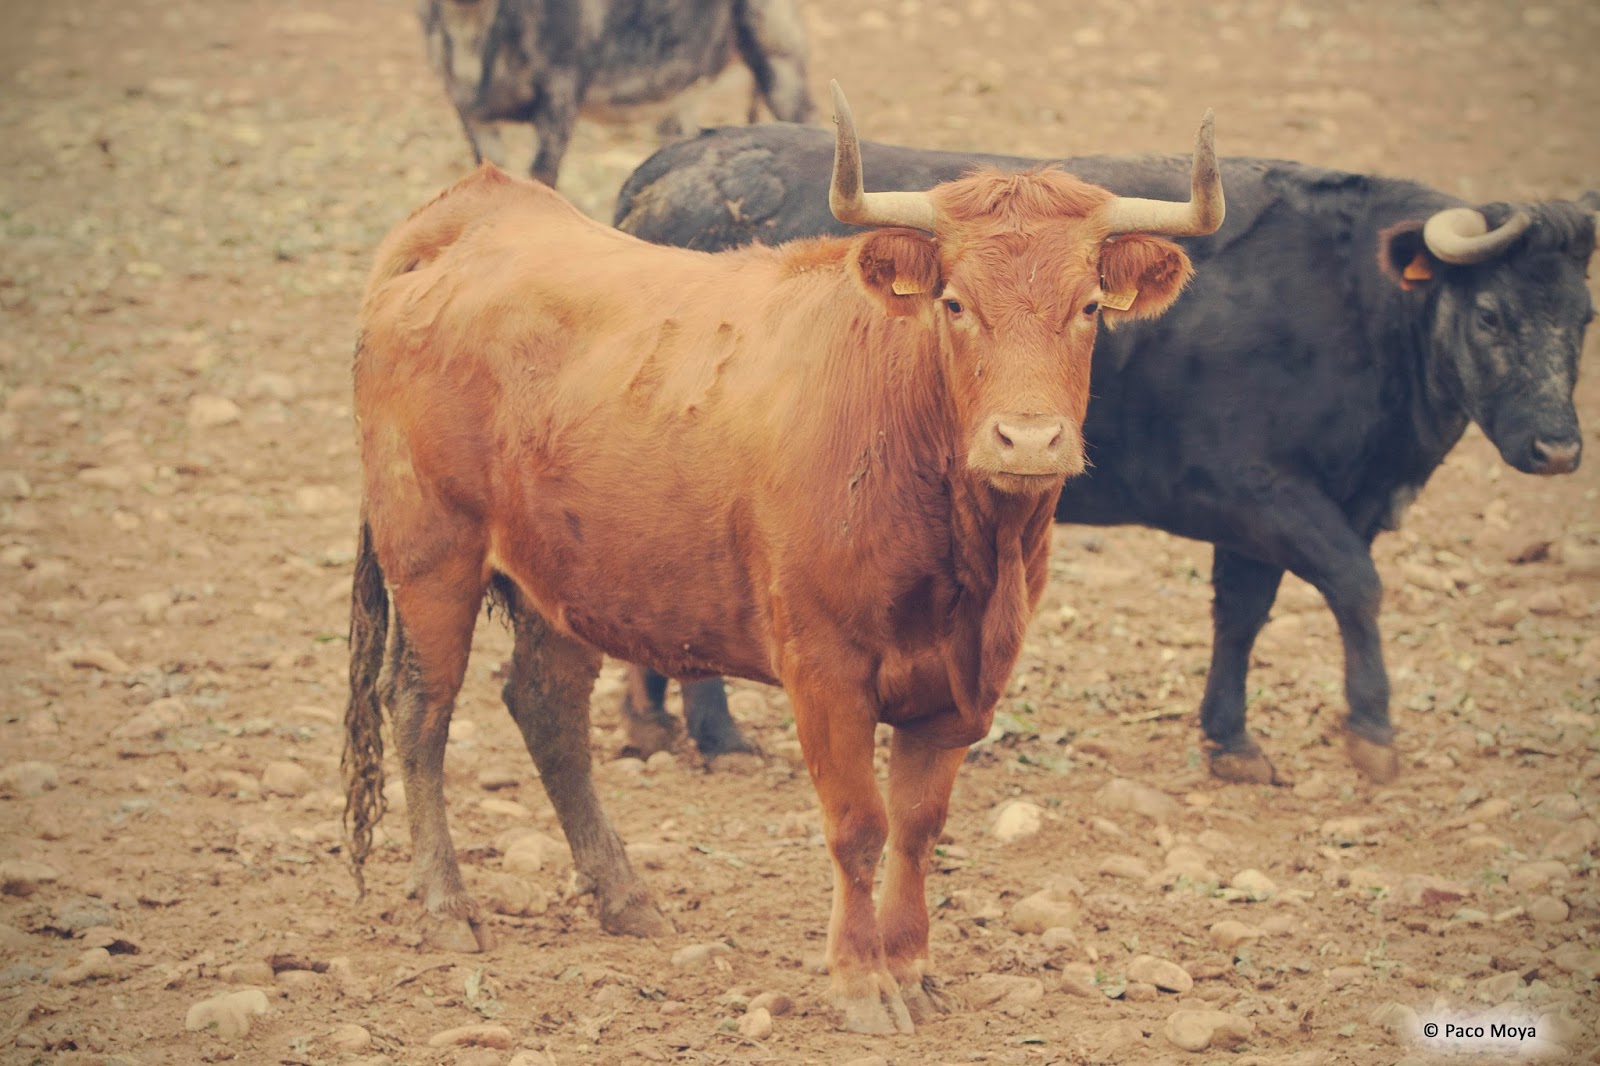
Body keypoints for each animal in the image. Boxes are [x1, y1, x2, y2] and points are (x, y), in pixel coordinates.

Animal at [343, 83, 1224, 1034]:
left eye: (1090, 306)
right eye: (954, 302)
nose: (1027, 440)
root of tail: (475, 215)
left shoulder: (961, 689)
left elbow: (918, 827)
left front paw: (912, 966)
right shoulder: (826, 670)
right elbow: (857, 824)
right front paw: (862, 980)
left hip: (562, 579)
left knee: (547, 711)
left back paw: (625, 897)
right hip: (432, 553)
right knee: (421, 711)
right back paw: (446, 905)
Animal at [612, 122, 1599, 786]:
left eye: (1585, 316)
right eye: (1490, 314)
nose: (1557, 446)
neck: (1356, 300)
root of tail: (668, 171)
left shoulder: (1265, 518)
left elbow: (1242, 614)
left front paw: (1231, 739)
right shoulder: (1264, 494)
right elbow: (1354, 584)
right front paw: (1372, 731)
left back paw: (653, 719)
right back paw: (717, 736)